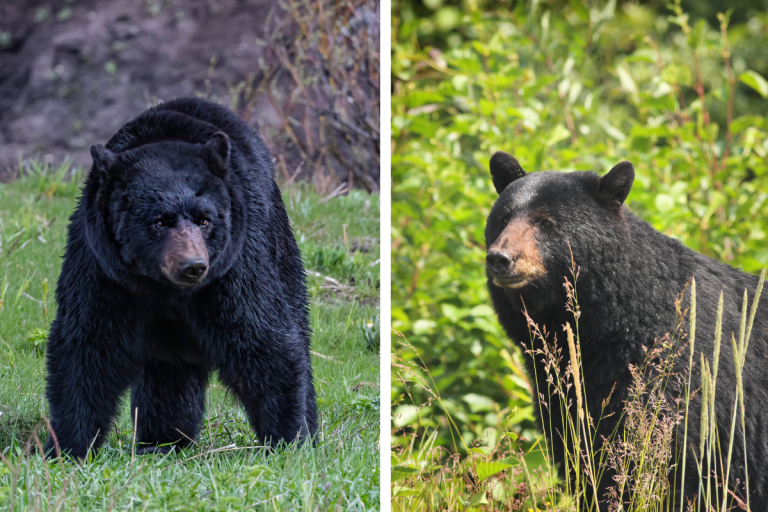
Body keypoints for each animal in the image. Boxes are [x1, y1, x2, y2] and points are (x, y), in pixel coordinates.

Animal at [44, 97, 317, 459]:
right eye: (159, 221)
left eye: (205, 220)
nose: (193, 266)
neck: (166, 291)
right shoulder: (101, 269)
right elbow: (87, 342)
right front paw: (66, 447)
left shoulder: (234, 266)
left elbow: (262, 336)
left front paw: (289, 440)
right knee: (167, 372)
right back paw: (164, 439)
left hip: (278, 241)